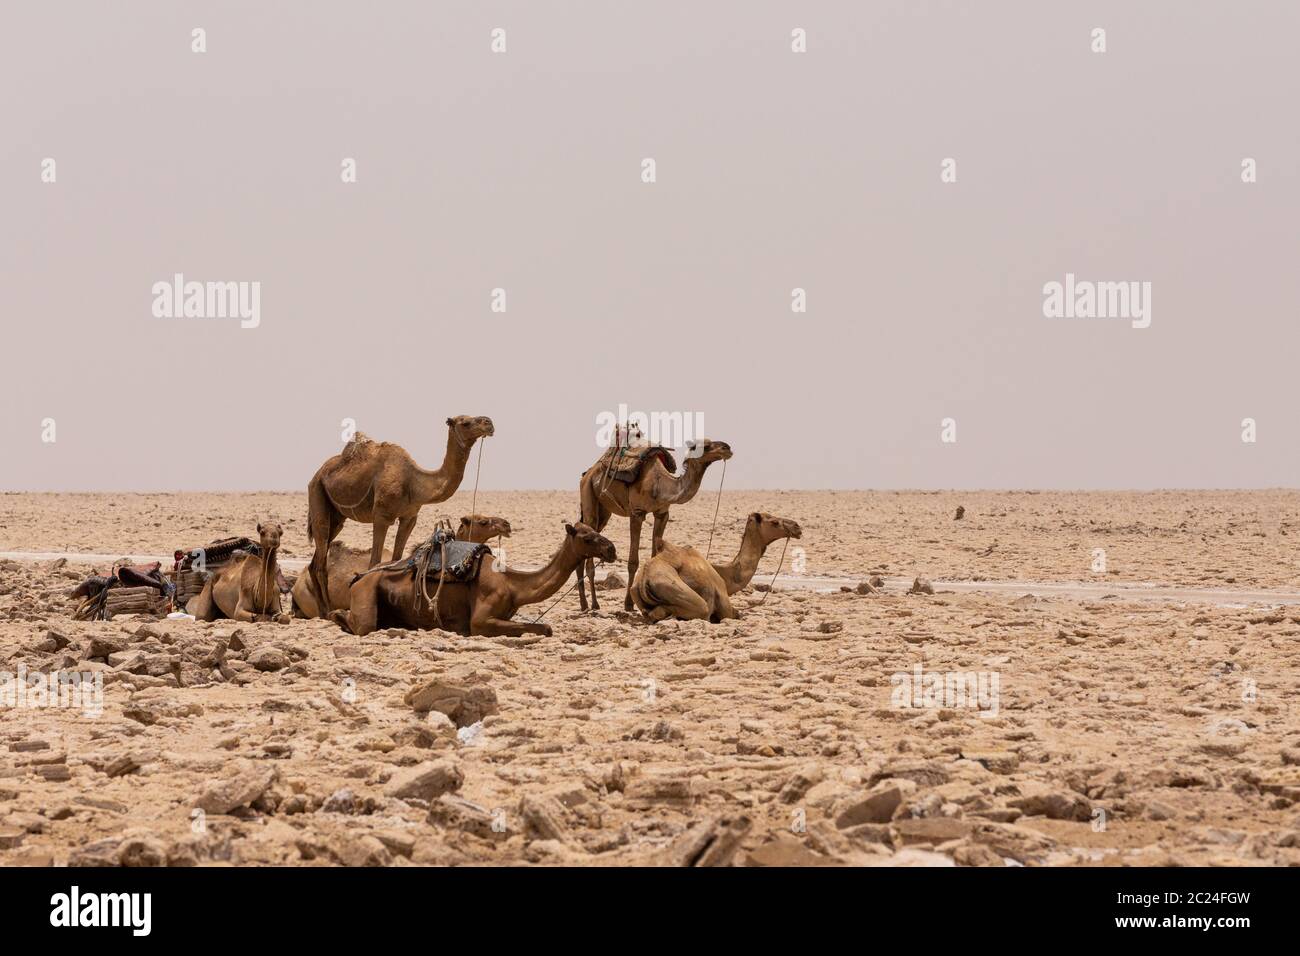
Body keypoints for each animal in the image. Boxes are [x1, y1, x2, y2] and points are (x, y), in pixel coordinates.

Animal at [306, 415, 494, 612]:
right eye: (465, 422)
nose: (489, 423)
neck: (414, 482)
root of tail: (318, 473)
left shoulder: (409, 517)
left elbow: (396, 559)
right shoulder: (381, 516)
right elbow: (374, 562)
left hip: (336, 517)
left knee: (316, 560)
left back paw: (321, 608)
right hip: (317, 492)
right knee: (320, 560)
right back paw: (327, 610)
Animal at [332, 522, 616, 638]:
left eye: (596, 530)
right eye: (587, 537)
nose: (611, 549)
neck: (512, 586)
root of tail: (357, 578)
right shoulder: (480, 621)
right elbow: (544, 628)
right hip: (366, 592)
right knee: (361, 623)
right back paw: (338, 616)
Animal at [575, 438, 733, 613]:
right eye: (704, 446)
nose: (727, 448)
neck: (660, 485)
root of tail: (587, 473)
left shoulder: (662, 513)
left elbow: (654, 554)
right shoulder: (637, 513)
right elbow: (633, 562)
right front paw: (629, 604)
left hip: (604, 512)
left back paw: (585, 603)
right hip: (589, 496)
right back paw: (592, 604)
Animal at [631, 513, 802, 622]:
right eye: (774, 522)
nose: (797, 527)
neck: (726, 577)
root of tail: (643, 580)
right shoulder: (723, 600)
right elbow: (734, 613)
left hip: (635, 591)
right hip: (672, 586)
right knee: (697, 609)